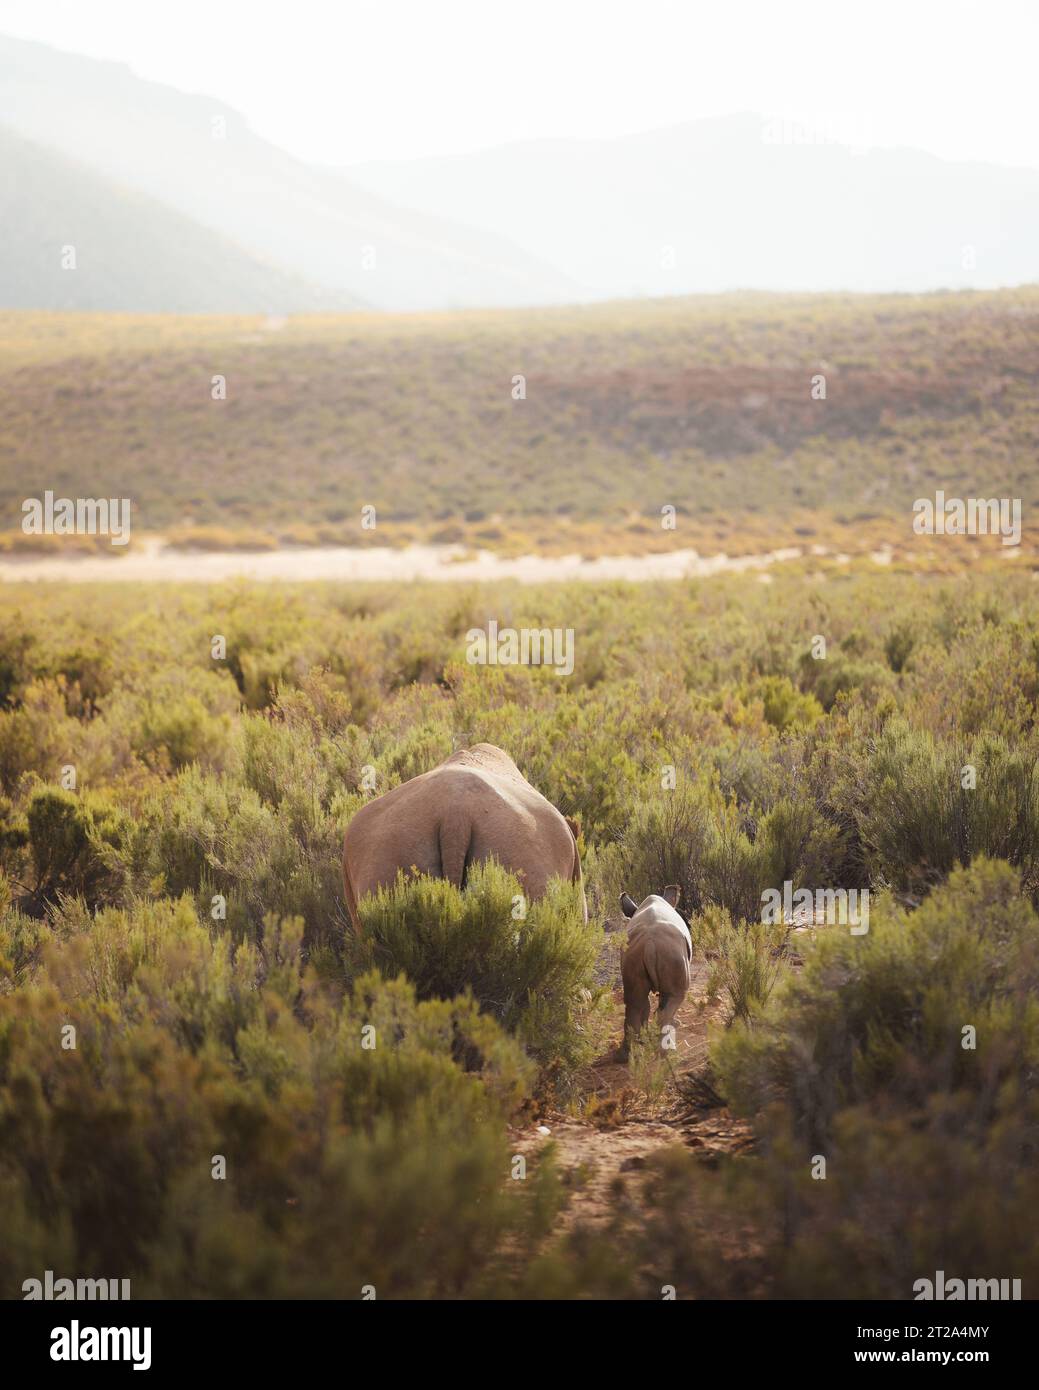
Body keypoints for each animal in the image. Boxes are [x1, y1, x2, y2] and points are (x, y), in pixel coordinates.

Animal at [618, 885, 691, 1059]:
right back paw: (666, 1052)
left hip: (633, 953)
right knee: (675, 997)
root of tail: (650, 944)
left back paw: (626, 1055)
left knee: (634, 1002)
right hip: (673, 952)